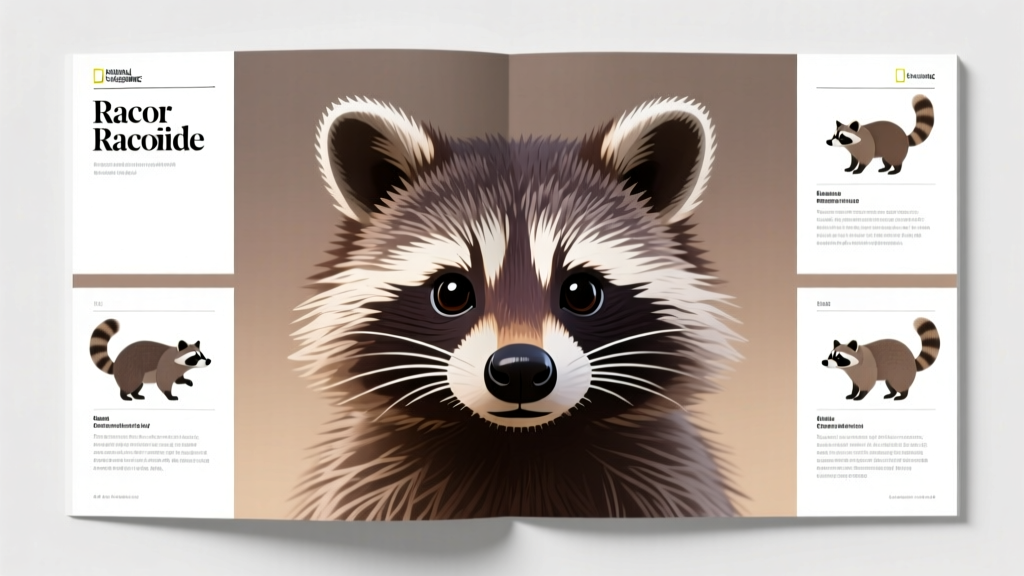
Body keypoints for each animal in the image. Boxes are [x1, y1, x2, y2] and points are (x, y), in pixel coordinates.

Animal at [289, 96, 743, 520]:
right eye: (452, 292)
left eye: (581, 291)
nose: (521, 369)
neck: (523, 444)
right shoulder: (367, 482)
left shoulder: (671, 479)